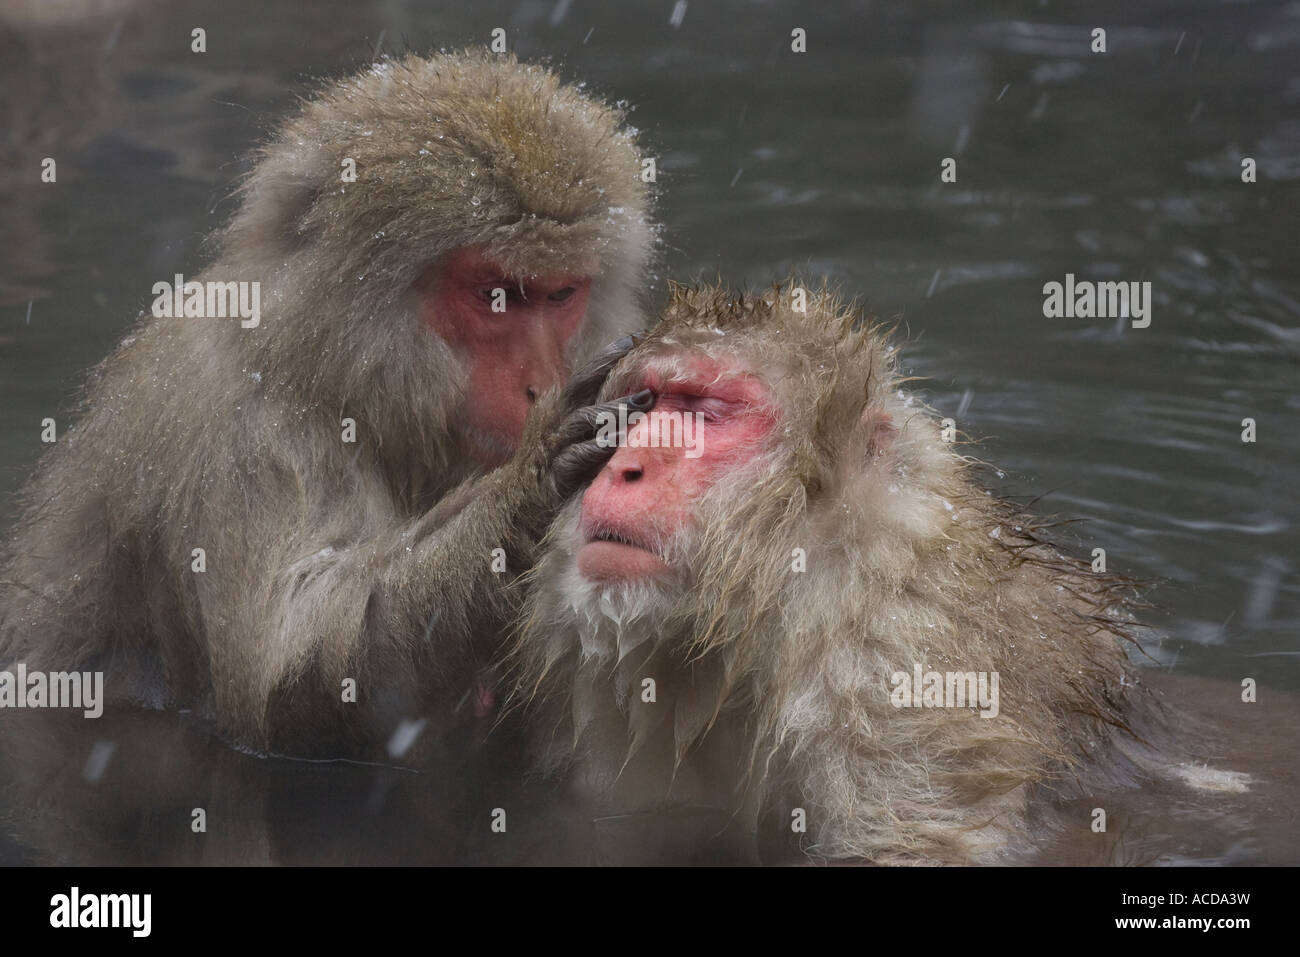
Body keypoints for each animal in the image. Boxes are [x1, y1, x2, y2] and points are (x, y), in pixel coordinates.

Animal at [0, 49, 655, 756]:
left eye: (560, 295)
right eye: (495, 296)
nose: (539, 381)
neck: (327, 369)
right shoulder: (238, 426)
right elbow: (289, 670)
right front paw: (531, 489)